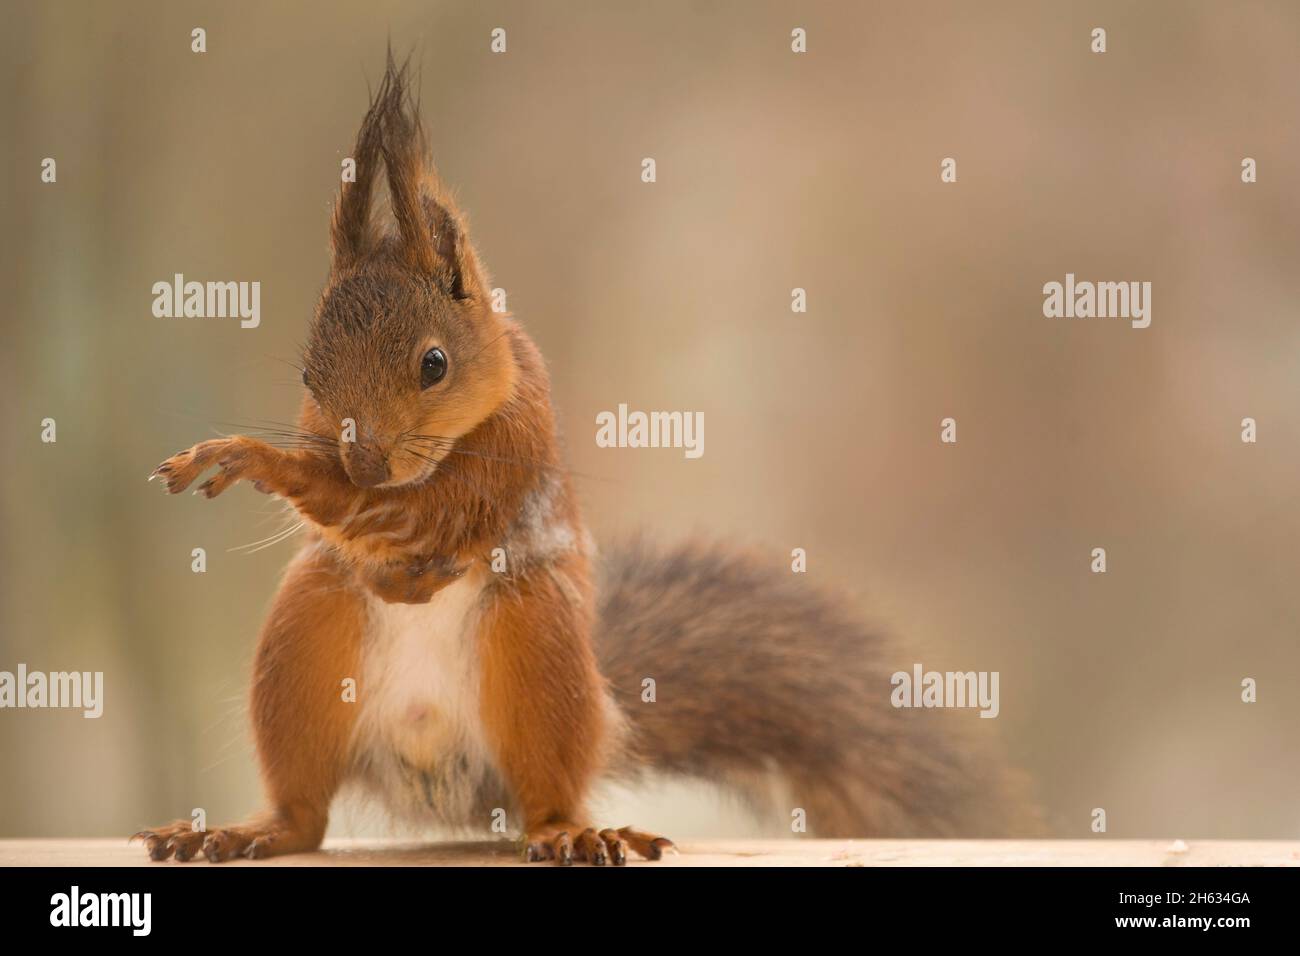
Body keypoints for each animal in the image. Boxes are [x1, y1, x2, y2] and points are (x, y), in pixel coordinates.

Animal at [133, 55, 1039, 865]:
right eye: (310, 378)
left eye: (434, 364)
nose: (362, 464)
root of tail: (443, 776)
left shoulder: (512, 443)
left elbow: (432, 512)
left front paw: (255, 459)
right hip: (305, 638)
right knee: (306, 814)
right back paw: (241, 831)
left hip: (540, 650)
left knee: (545, 794)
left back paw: (573, 831)